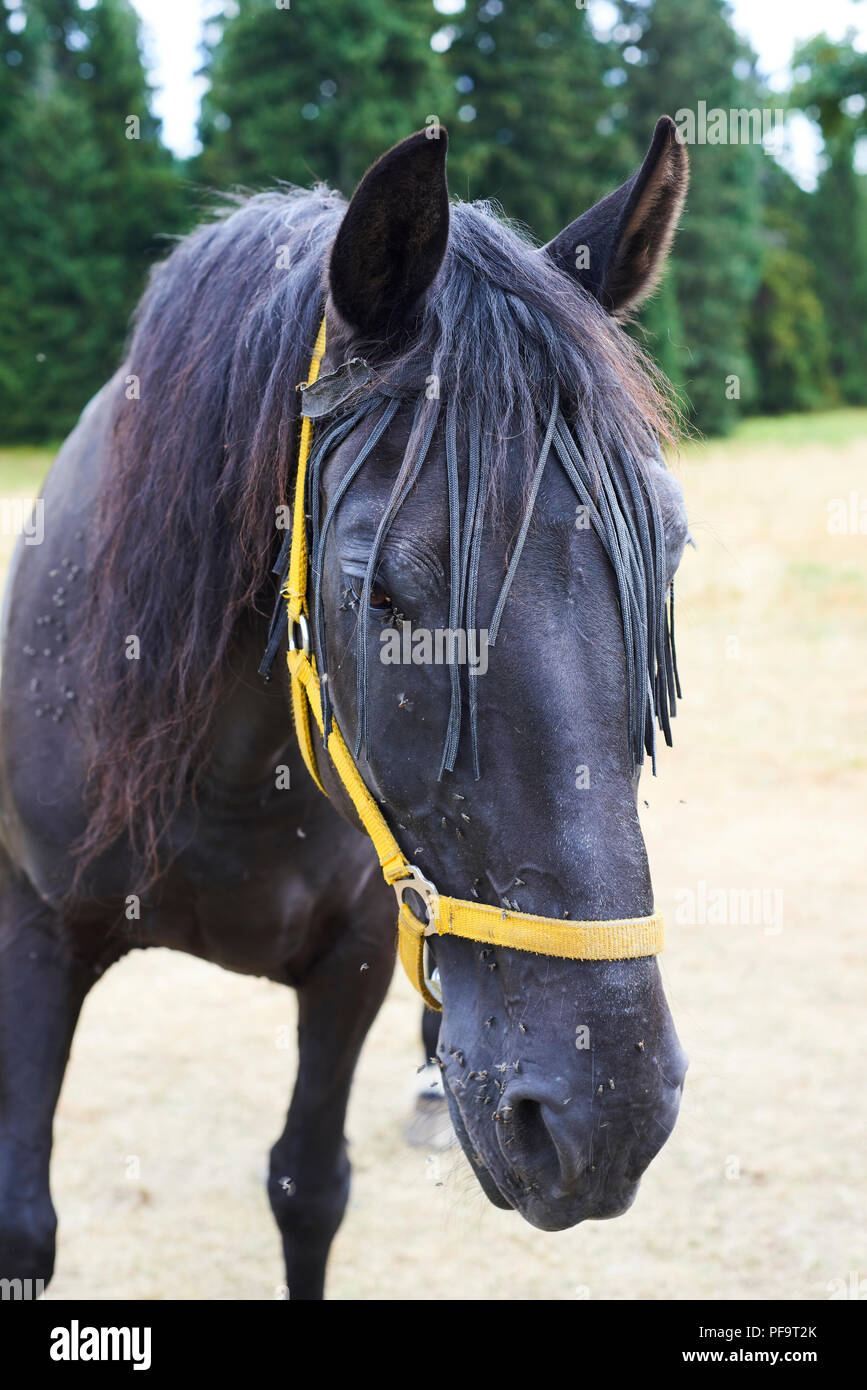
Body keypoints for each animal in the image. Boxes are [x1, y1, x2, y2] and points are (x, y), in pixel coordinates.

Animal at [0, 119, 691, 1299]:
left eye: (671, 545)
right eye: (378, 588)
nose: (608, 1116)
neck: (225, 771)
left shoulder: (360, 953)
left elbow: (306, 1188)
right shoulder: (38, 929)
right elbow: (25, 1221)